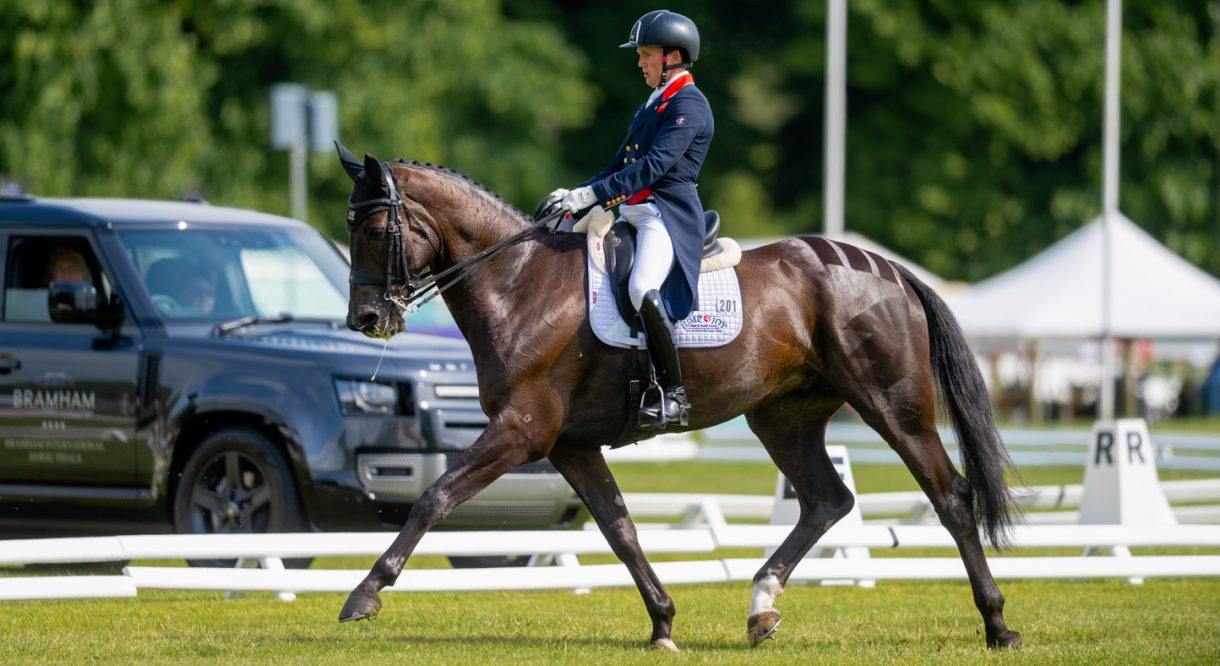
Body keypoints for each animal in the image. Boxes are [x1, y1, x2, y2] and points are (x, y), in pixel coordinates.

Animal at [333, 145, 1023, 652]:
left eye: (376, 228)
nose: (364, 319)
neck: (518, 282)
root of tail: (889, 269)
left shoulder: (523, 428)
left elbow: (435, 497)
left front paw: (364, 595)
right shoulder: (571, 444)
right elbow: (620, 529)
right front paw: (662, 622)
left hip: (892, 407)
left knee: (951, 497)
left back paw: (997, 624)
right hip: (783, 416)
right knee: (828, 500)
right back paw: (761, 608)